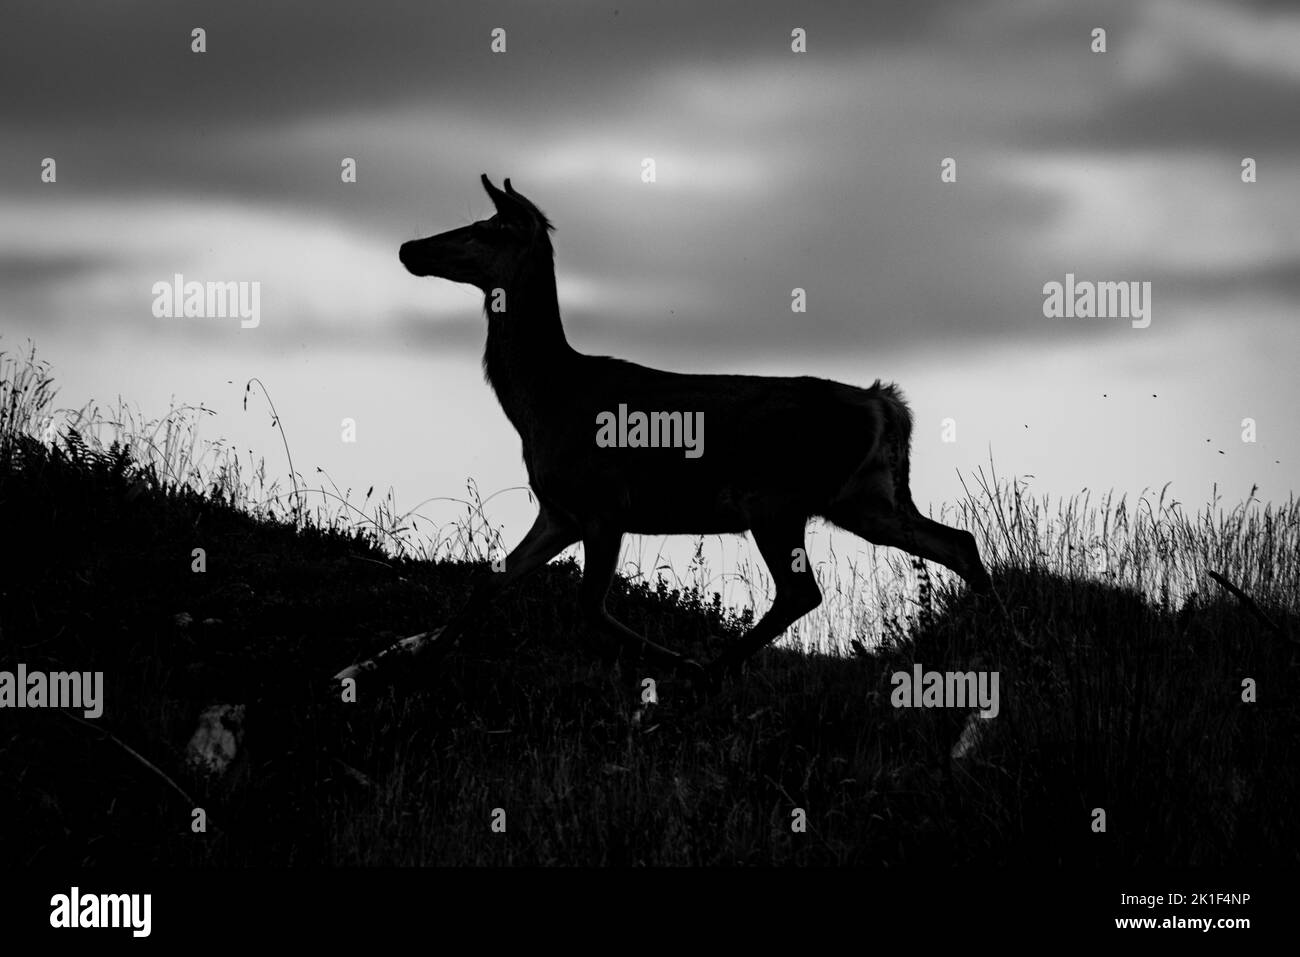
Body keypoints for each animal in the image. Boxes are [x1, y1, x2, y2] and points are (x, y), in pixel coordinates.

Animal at [335, 175, 992, 694]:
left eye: (486, 228)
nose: (408, 246)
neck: (546, 400)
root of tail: (885, 403)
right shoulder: (559, 509)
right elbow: (487, 583)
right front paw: (388, 660)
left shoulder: (605, 501)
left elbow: (590, 606)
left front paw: (679, 661)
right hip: (866, 498)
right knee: (955, 541)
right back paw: (986, 634)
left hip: (775, 496)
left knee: (802, 591)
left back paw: (713, 670)